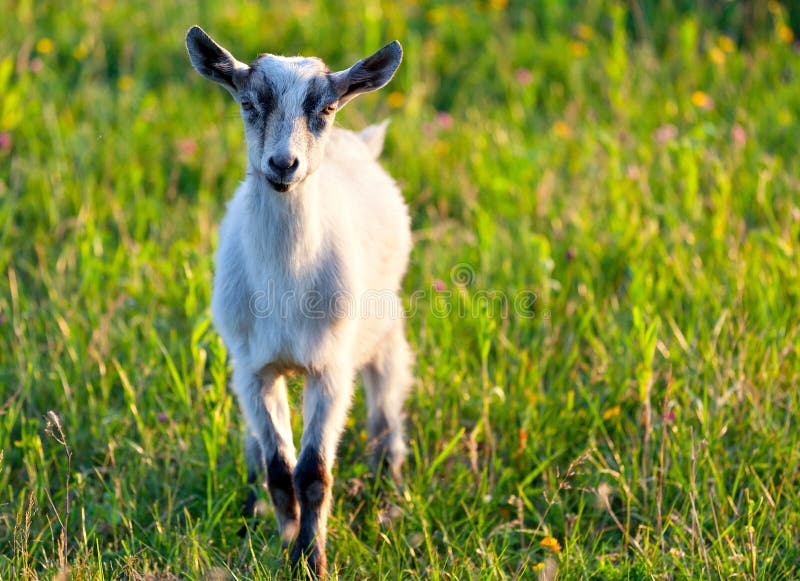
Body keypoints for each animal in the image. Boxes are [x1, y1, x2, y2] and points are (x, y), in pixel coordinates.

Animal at [185, 26, 413, 577]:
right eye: (248, 103)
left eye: (325, 108)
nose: (283, 165)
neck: (284, 287)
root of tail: (360, 145)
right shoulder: (253, 368)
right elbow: (279, 469)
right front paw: (283, 542)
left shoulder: (329, 367)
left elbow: (312, 474)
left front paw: (312, 560)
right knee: (256, 447)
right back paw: (248, 510)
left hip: (385, 326)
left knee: (387, 407)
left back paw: (390, 493)